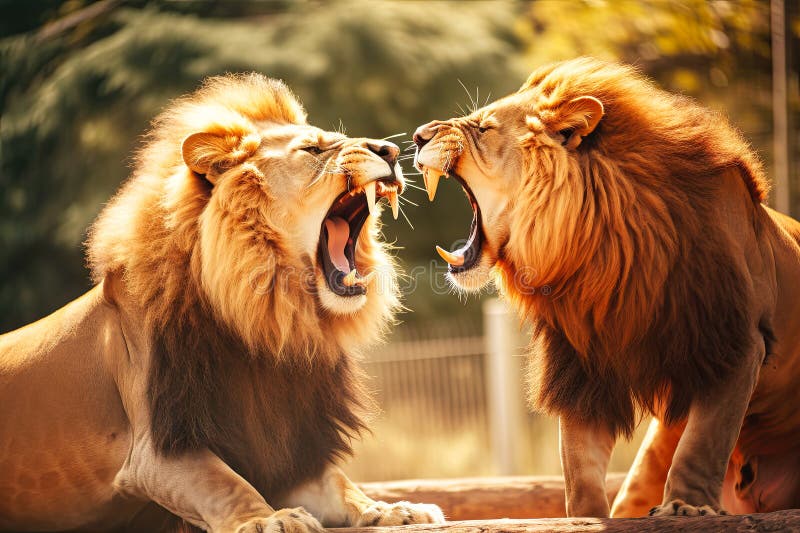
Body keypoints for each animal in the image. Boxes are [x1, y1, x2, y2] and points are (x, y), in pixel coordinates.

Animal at [0, 73, 444, 532]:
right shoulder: (157, 447)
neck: (261, 323)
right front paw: (270, 518)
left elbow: (340, 484)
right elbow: (225, 484)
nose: (391, 150)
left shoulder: (287, 444)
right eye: (313, 150)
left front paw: (392, 509)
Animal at [413, 57, 800, 518]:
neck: (602, 258)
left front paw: (686, 507)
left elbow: (704, 441)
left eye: (484, 126)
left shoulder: (734, 341)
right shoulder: (582, 363)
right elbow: (578, 464)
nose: (417, 136)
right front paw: (584, 517)